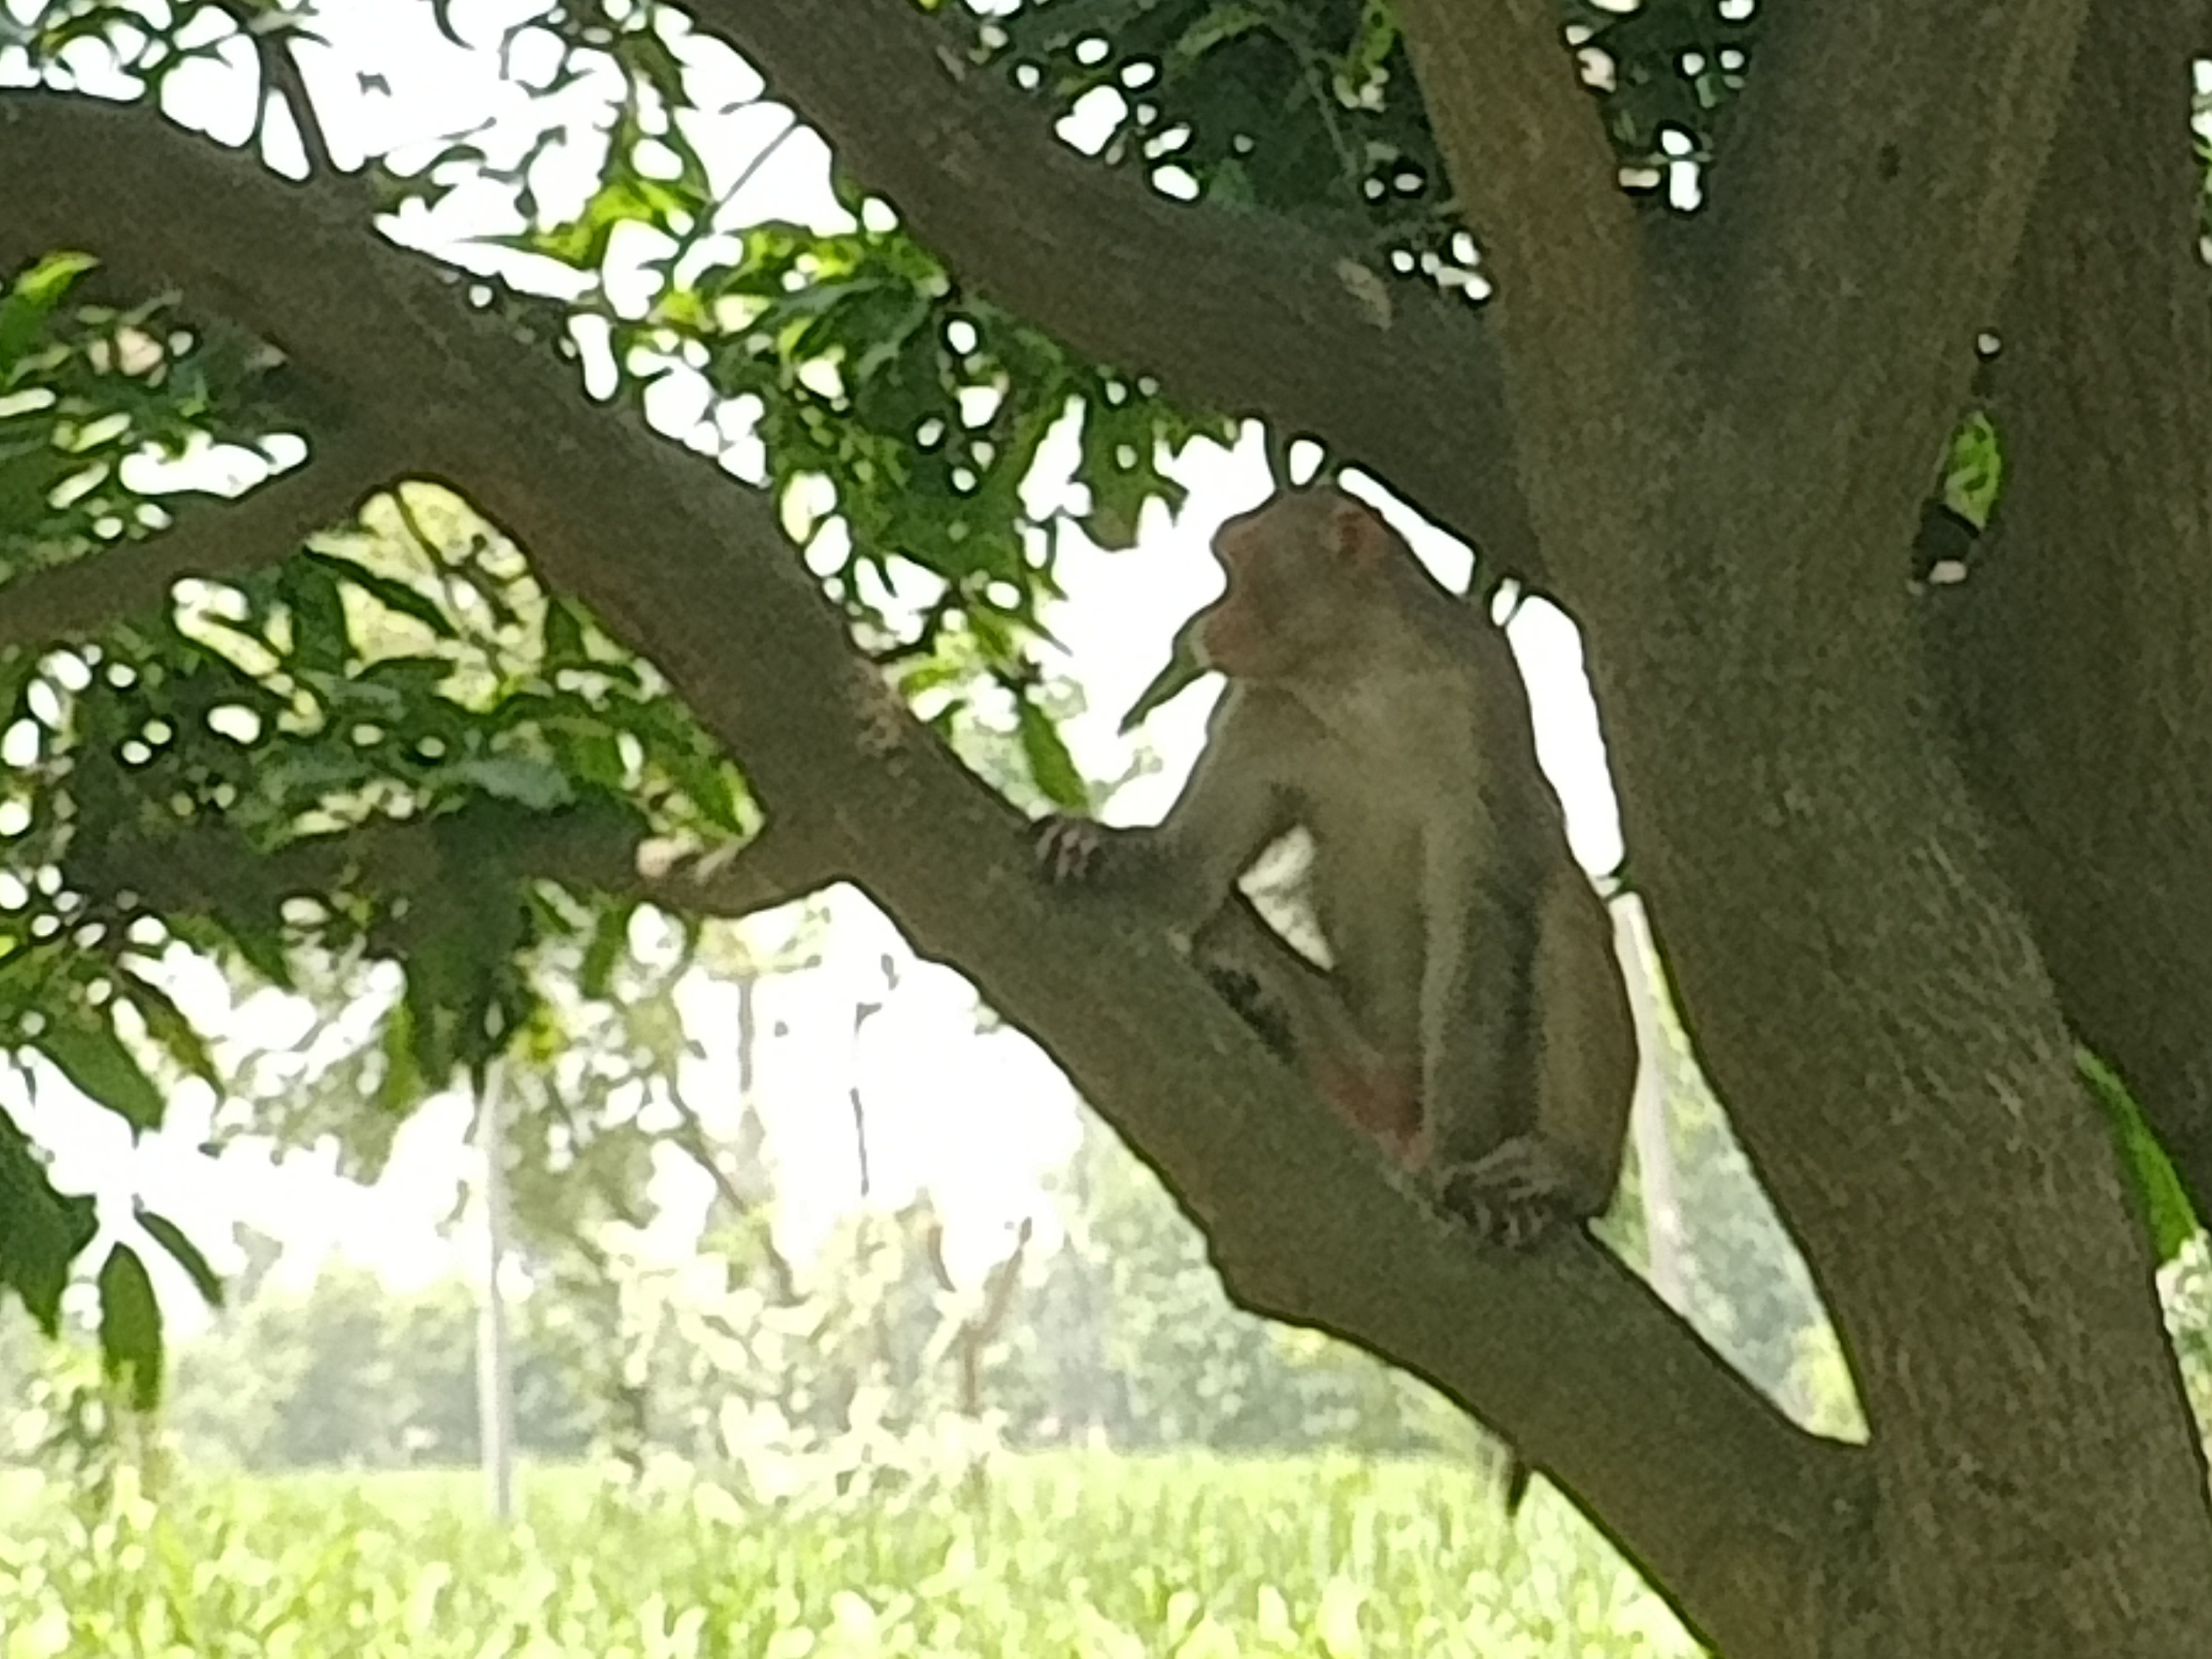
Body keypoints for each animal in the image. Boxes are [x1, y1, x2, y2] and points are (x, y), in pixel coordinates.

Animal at [1034, 483, 1637, 1247]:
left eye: (1236, 563)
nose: (1206, 620)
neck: (1356, 674)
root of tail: (1395, 1101)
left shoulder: (1482, 695)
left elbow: (1480, 908)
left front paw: (1450, 1159)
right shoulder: (1258, 704)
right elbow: (1191, 873)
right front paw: (1096, 845)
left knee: (1564, 902)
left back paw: (1566, 1171)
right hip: (1351, 1061)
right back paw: (1253, 1002)